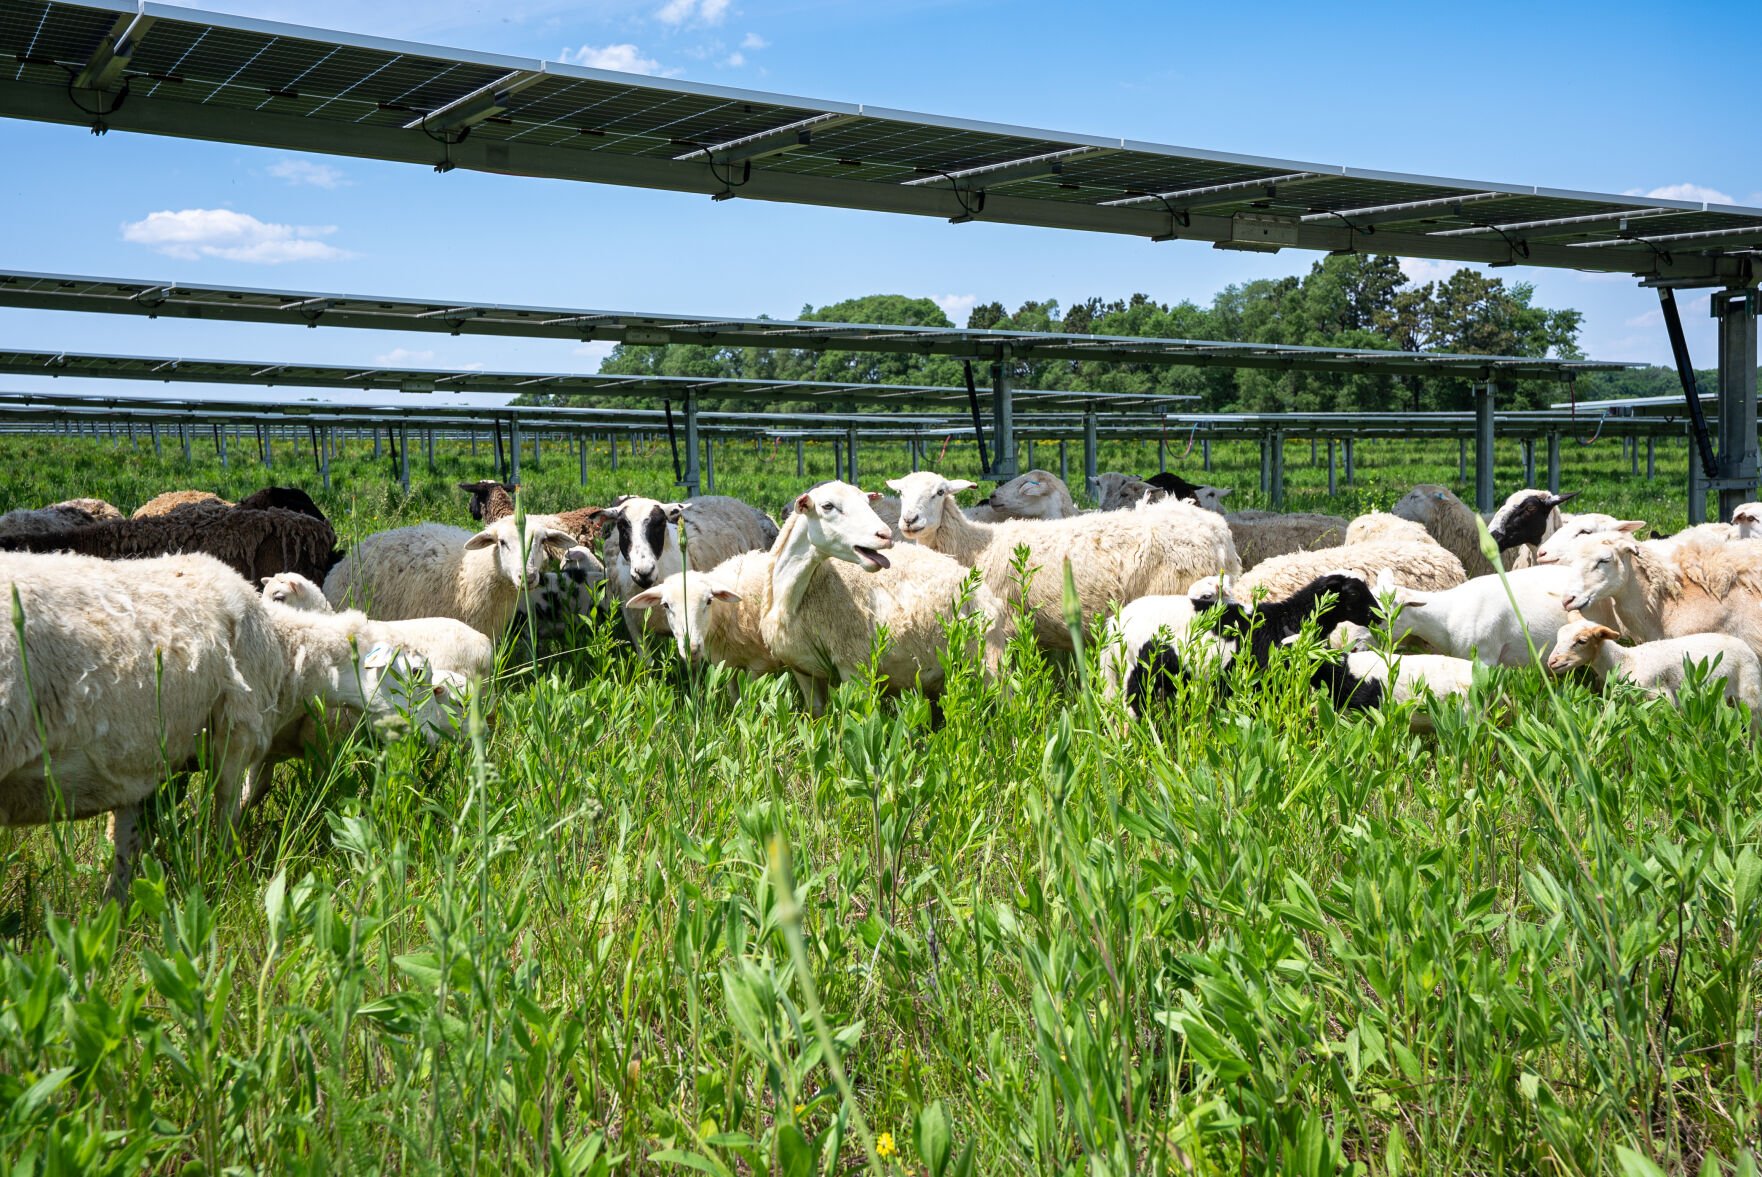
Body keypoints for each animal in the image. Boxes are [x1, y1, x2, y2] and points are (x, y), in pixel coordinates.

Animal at [0, 551, 281, 900]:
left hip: (235, 727)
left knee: (226, 809)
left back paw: (219, 876)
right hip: (136, 759)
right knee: (128, 835)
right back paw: (116, 905)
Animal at [759, 482, 1009, 714]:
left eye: (867, 503)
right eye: (827, 506)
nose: (885, 535)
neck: (790, 600)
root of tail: (979, 586)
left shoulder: (854, 663)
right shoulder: (801, 669)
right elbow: (816, 715)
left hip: (988, 661)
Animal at [887, 469, 1240, 650]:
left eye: (940, 492)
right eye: (902, 493)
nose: (909, 520)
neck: (973, 544)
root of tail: (1218, 532)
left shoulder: (1003, 626)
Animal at [1546, 615, 1762, 733]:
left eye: (1582, 641)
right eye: (1558, 636)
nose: (1552, 662)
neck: (1626, 662)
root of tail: (1746, 647)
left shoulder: (1661, 699)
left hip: (1751, 696)